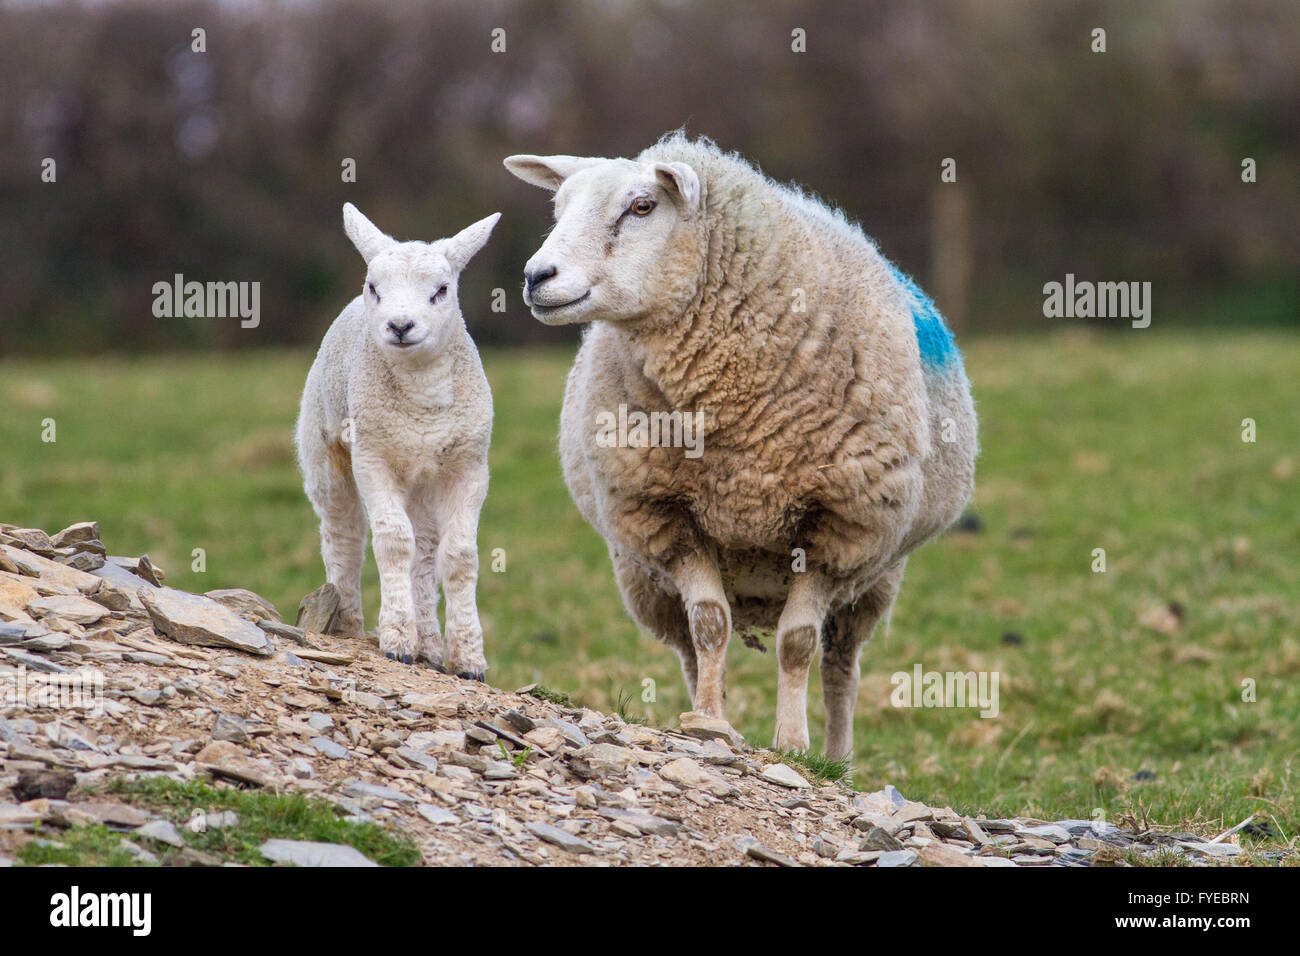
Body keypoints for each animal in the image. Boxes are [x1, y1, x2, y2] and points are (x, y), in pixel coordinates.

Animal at [295, 203, 499, 677]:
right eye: (375, 287)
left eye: (442, 290)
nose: (401, 325)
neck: (422, 398)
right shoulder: (373, 457)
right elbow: (392, 542)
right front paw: (397, 640)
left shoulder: (469, 465)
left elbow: (459, 556)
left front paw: (468, 658)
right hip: (325, 451)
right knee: (344, 535)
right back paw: (347, 620)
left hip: (424, 477)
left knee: (424, 552)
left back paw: (430, 644)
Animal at [504, 133, 977, 758]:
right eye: (558, 210)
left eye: (642, 207)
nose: (537, 276)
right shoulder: (668, 517)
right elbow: (710, 625)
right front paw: (709, 720)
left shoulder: (837, 528)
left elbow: (798, 643)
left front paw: (793, 743)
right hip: (643, 578)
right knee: (692, 644)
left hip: (876, 577)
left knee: (841, 666)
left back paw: (839, 759)